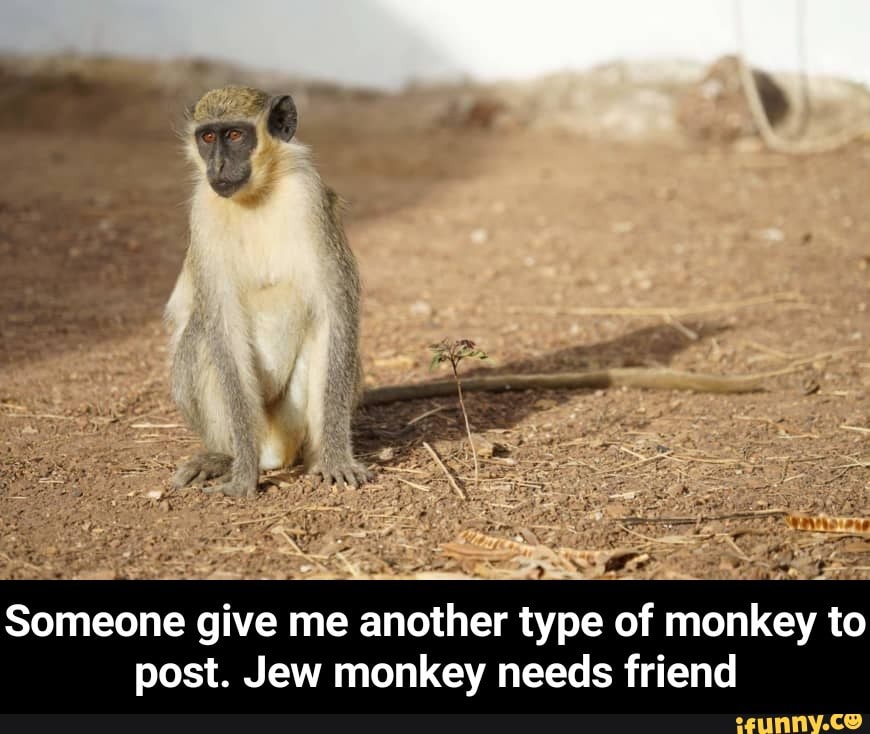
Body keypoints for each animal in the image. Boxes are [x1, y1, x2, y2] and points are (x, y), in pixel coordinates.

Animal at [166, 85, 797, 498]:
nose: (219, 166)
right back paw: (225, 454)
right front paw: (241, 474)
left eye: (236, 135)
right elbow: (220, 323)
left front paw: (341, 459)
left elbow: (338, 312)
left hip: (296, 415)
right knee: (200, 338)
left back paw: (322, 451)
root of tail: (281, 443)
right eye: (207, 137)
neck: (259, 195)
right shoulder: (201, 209)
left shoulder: (310, 198)